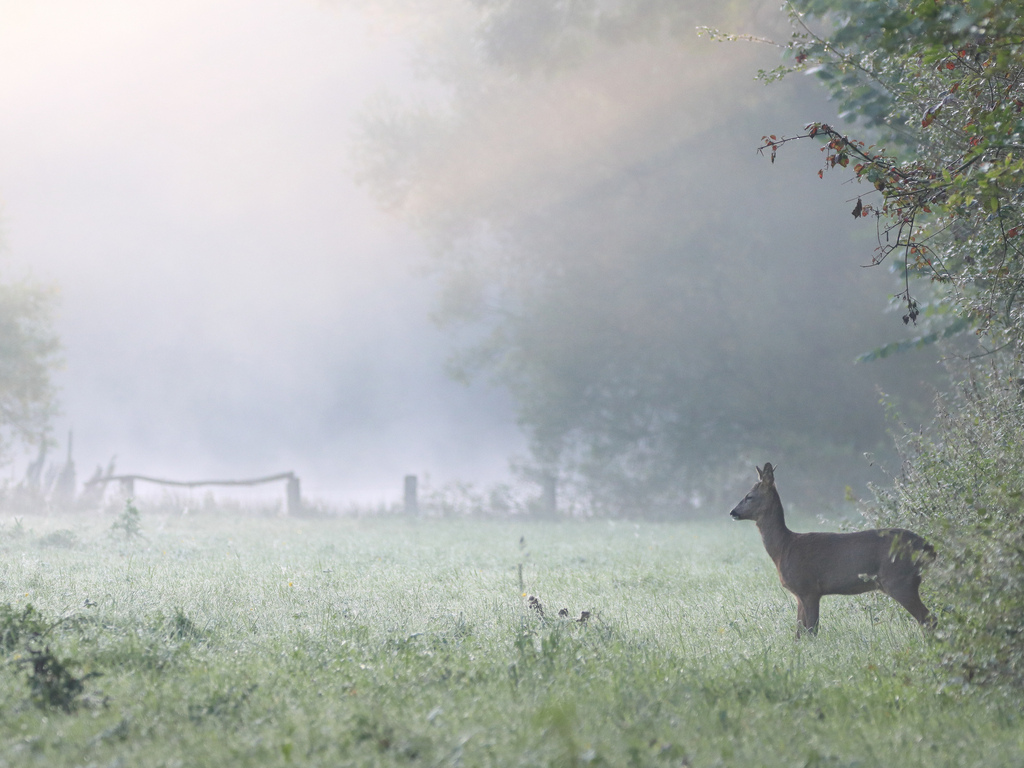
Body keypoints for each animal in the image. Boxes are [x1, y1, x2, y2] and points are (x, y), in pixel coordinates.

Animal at [730, 463, 934, 638]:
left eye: (749, 496)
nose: (732, 512)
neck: (784, 548)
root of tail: (927, 545)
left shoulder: (809, 588)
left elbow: (811, 631)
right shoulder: (799, 594)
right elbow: (798, 633)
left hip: (899, 579)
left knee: (928, 618)